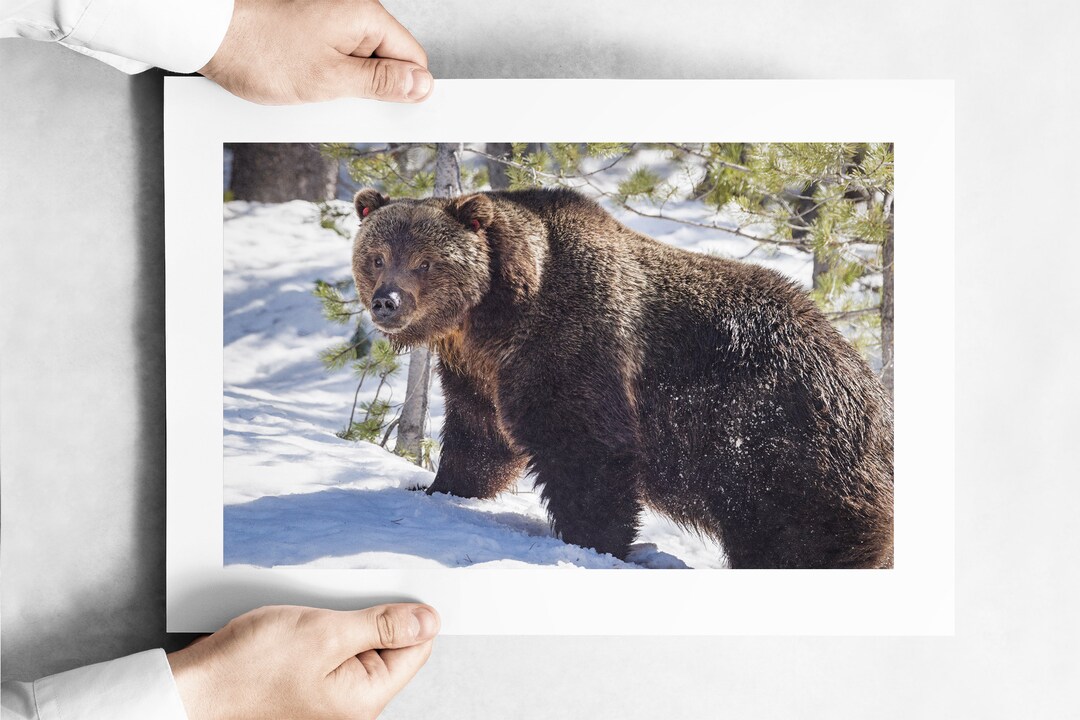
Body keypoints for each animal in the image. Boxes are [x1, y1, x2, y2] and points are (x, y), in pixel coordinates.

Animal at [351, 186, 894, 569]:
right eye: (376, 256)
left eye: (424, 261)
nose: (386, 301)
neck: (492, 316)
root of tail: (868, 382)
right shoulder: (479, 370)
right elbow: (480, 436)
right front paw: (437, 488)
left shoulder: (574, 341)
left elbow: (586, 446)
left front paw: (592, 541)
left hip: (778, 439)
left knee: (802, 533)